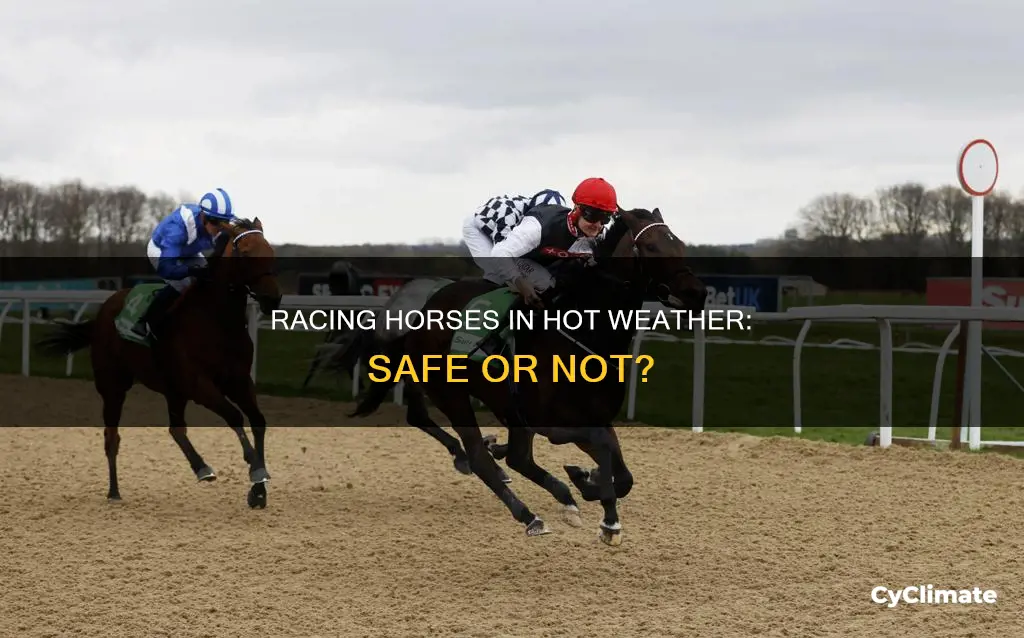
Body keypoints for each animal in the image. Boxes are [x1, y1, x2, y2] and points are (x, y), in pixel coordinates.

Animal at [34, 217, 283, 509]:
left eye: (270, 250)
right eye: (244, 252)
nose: (272, 299)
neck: (216, 321)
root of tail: (103, 312)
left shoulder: (238, 379)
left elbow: (258, 420)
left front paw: (259, 489)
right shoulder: (199, 384)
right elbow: (234, 416)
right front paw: (255, 468)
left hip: (173, 389)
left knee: (176, 429)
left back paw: (201, 467)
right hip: (113, 386)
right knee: (112, 437)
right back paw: (114, 491)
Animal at [347, 206, 707, 545]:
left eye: (680, 244)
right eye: (650, 246)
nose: (697, 293)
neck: (585, 335)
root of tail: (420, 315)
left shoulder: (592, 417)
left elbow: (624, 476)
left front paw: (594, 495)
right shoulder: (548, 420)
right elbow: (602, 451)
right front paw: (591, 491)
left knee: (511, 455)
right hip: (452, 394)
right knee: (479, 456)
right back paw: (527, 513)